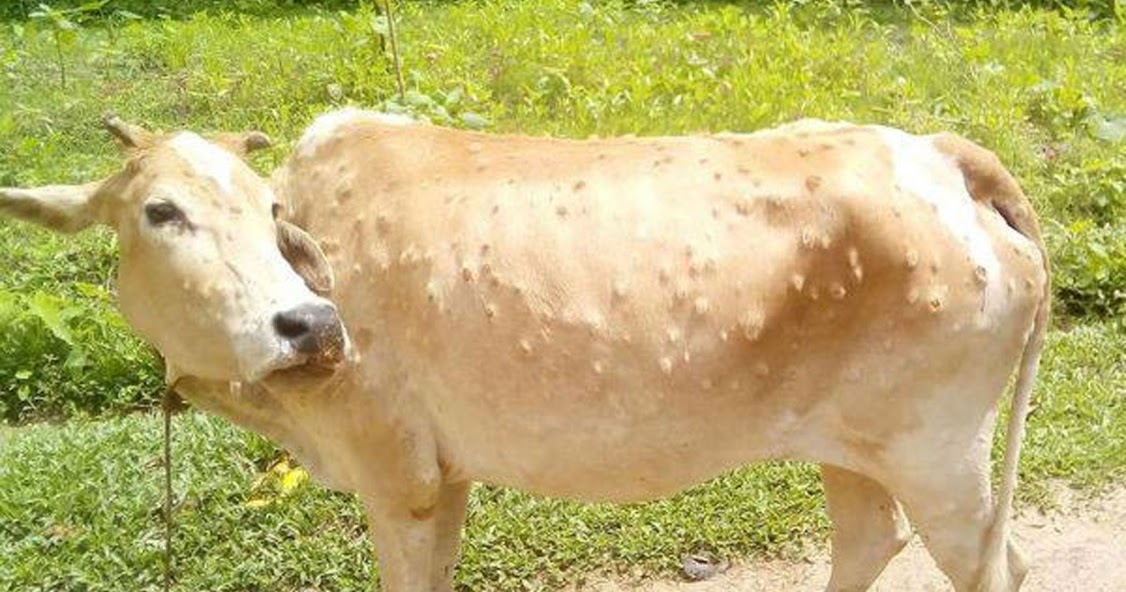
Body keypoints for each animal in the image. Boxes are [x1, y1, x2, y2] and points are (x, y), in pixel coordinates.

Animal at [0, 111, 1049, 592]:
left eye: (267, 210)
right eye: (159, 212)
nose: (310, 327)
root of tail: (940, 153)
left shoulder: (398, 477)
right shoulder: (446, 477)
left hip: (938, 453)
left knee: (986, 566)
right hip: (859, 447)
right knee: (869, 536)